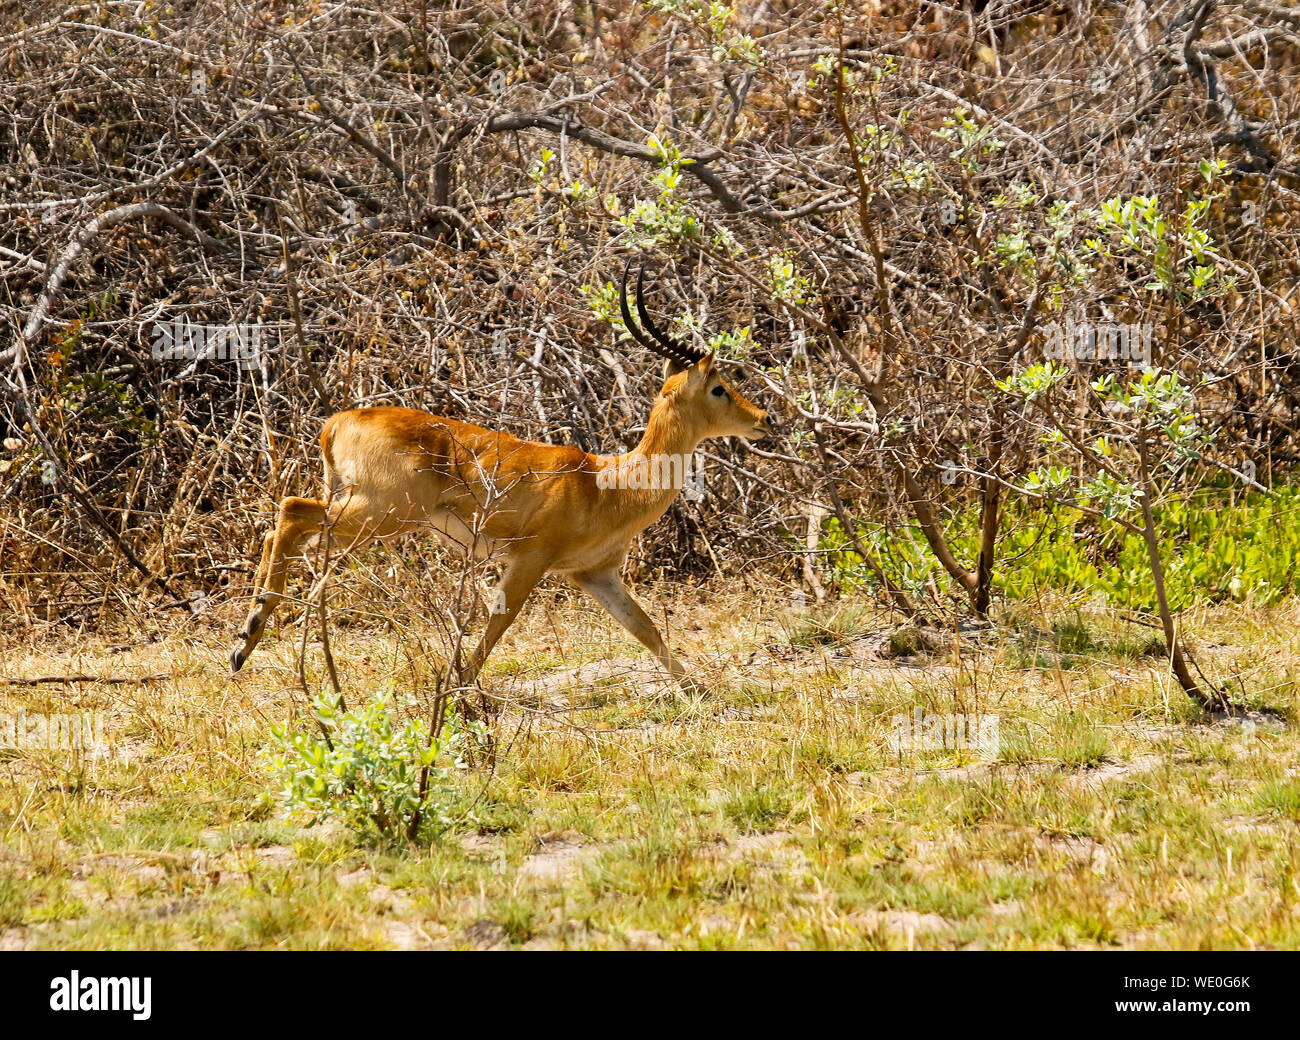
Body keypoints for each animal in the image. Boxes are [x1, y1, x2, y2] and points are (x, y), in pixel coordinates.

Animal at [229, 260, 771, 692]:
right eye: (720, 387)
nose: (763, 417)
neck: (608, 484)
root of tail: (338, 422)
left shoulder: (593, 573)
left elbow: (645, 628)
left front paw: (698, 689)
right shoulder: (532, 559)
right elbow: (499, 622)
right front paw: (458, 688)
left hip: (363, 511)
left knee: (285, 524)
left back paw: (244, 642)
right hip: (384, 514)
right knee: (290, 512)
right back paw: (245, 639)